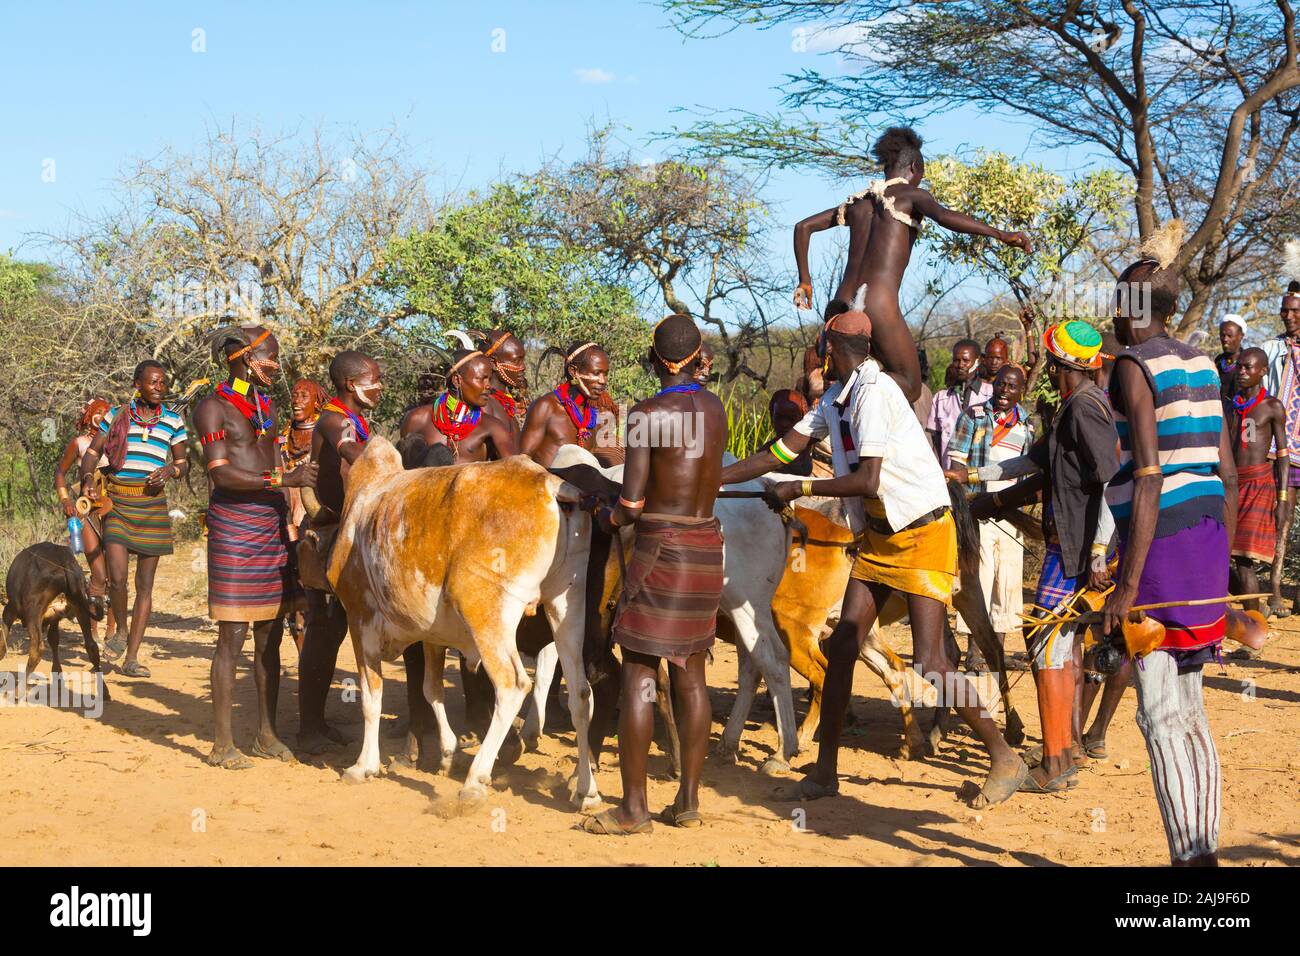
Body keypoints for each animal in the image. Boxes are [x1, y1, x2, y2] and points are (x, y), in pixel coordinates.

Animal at [2, 541, 108, 689]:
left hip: (32, 612)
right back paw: (103, 689)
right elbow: (54, 640)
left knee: (37, 649)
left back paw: (20, 689)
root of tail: (62, 556)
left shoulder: (9, 611)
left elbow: (2, 643)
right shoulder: (54, 619)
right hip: (79, 605)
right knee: (91, 645)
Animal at [324, 437, 601, 808]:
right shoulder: (432, 635)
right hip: (566, 605)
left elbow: (371, 698)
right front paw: (446, 753)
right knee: (581, 694)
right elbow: (431, 689)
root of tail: (553, 486)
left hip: (486, 611)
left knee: (513, 686)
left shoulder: (360, 617)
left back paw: (475, 780)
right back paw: (586, 790)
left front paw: (363, 766)